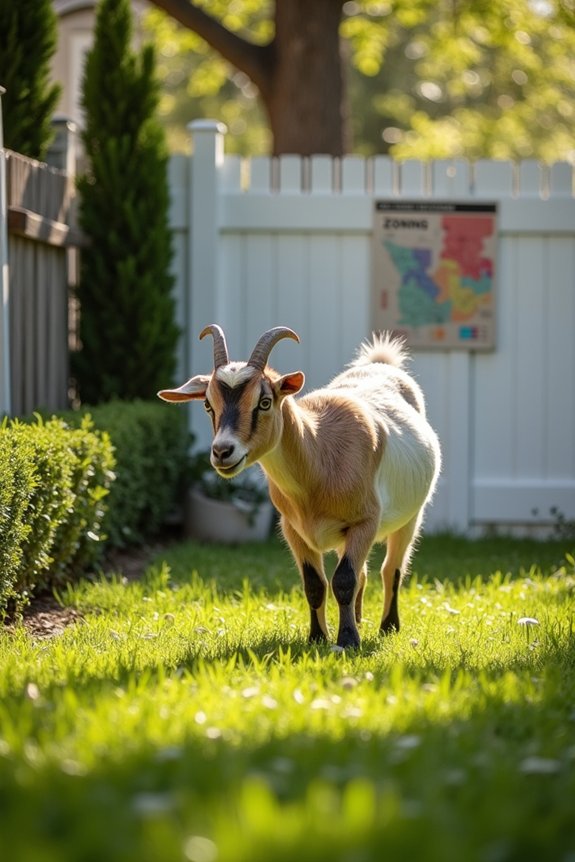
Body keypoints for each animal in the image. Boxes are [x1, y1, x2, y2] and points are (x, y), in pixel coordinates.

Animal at [158, 325, 441, 649]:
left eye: (264, 401)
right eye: (208, 404)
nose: (222, 451)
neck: (320, 454)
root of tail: (381, 365)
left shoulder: (365, 521)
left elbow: (344, 579)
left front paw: (347, 640)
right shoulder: (293, 529)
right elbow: (315, 583)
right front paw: (318, 637)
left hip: (411, 518)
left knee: (390, 569)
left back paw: (387, 627)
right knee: (365, 572)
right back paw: (358, 619)